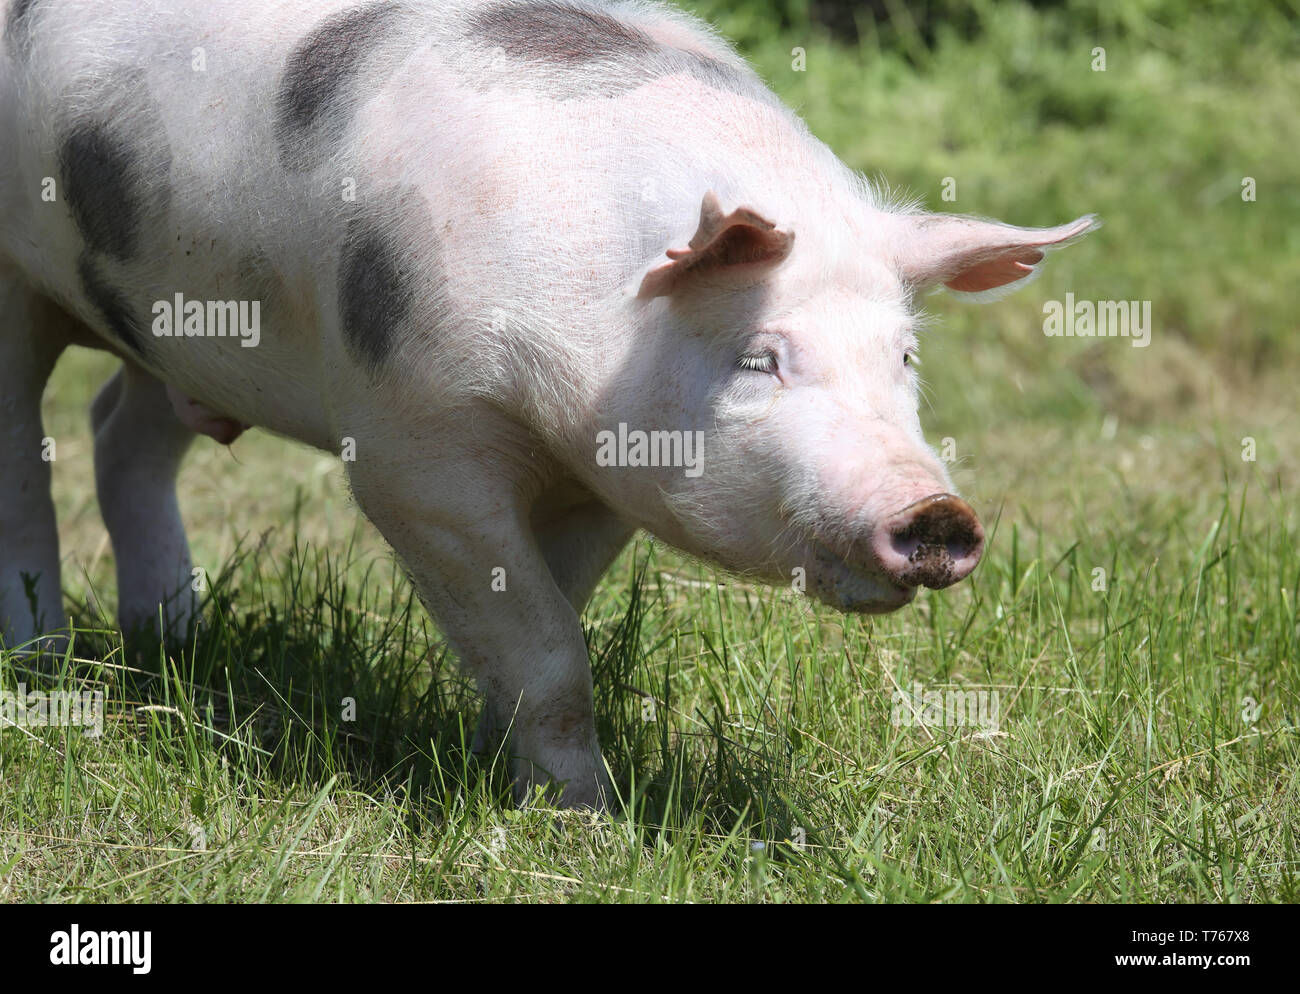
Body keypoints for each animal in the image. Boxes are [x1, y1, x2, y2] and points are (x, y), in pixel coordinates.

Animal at [0, 0, 1094, 807]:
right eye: (761, 358)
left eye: (904, 356)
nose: (936, 507)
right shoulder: (414, 445)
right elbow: (548, 648)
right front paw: (587, 824)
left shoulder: (602, 478)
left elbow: (546, 620)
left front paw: (504, 772)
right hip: (16, 287)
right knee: (27, 461)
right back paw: (43, 664)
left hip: (176, 330)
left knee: (119, 434)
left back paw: (171, 639)